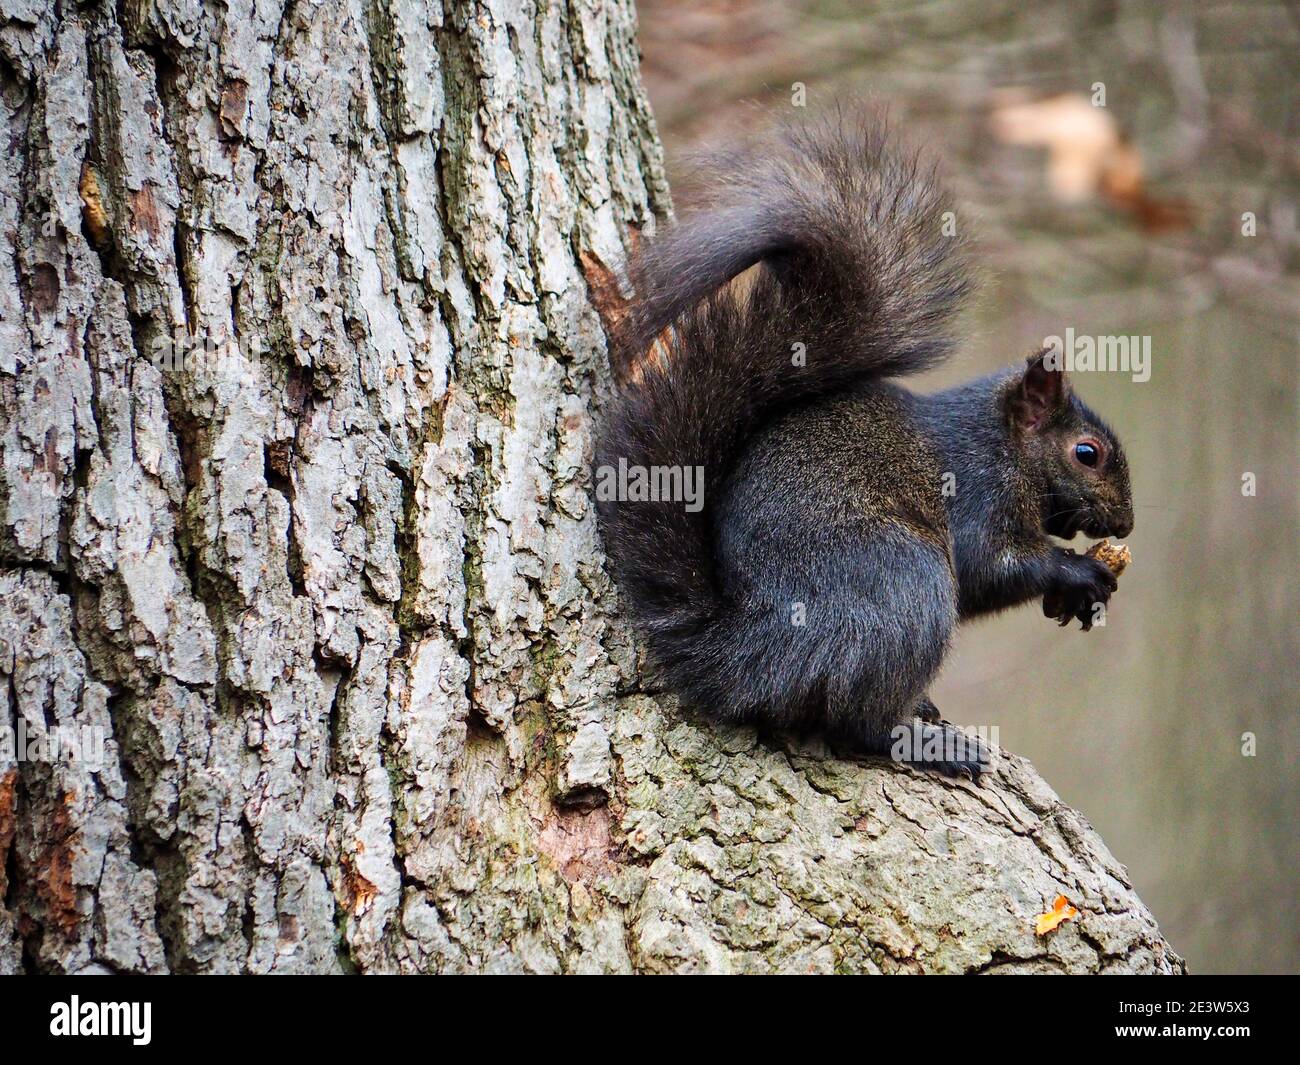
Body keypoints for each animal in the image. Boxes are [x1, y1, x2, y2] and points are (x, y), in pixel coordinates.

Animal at [594, 112, 1134, 779]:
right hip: (905, 581)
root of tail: (748, 650)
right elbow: (988, 566)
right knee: (860, 722)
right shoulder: (976, 494)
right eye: (1087, 452)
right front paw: (1077, 570)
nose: (1127, 524)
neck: (1001, 445)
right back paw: (926, 741)